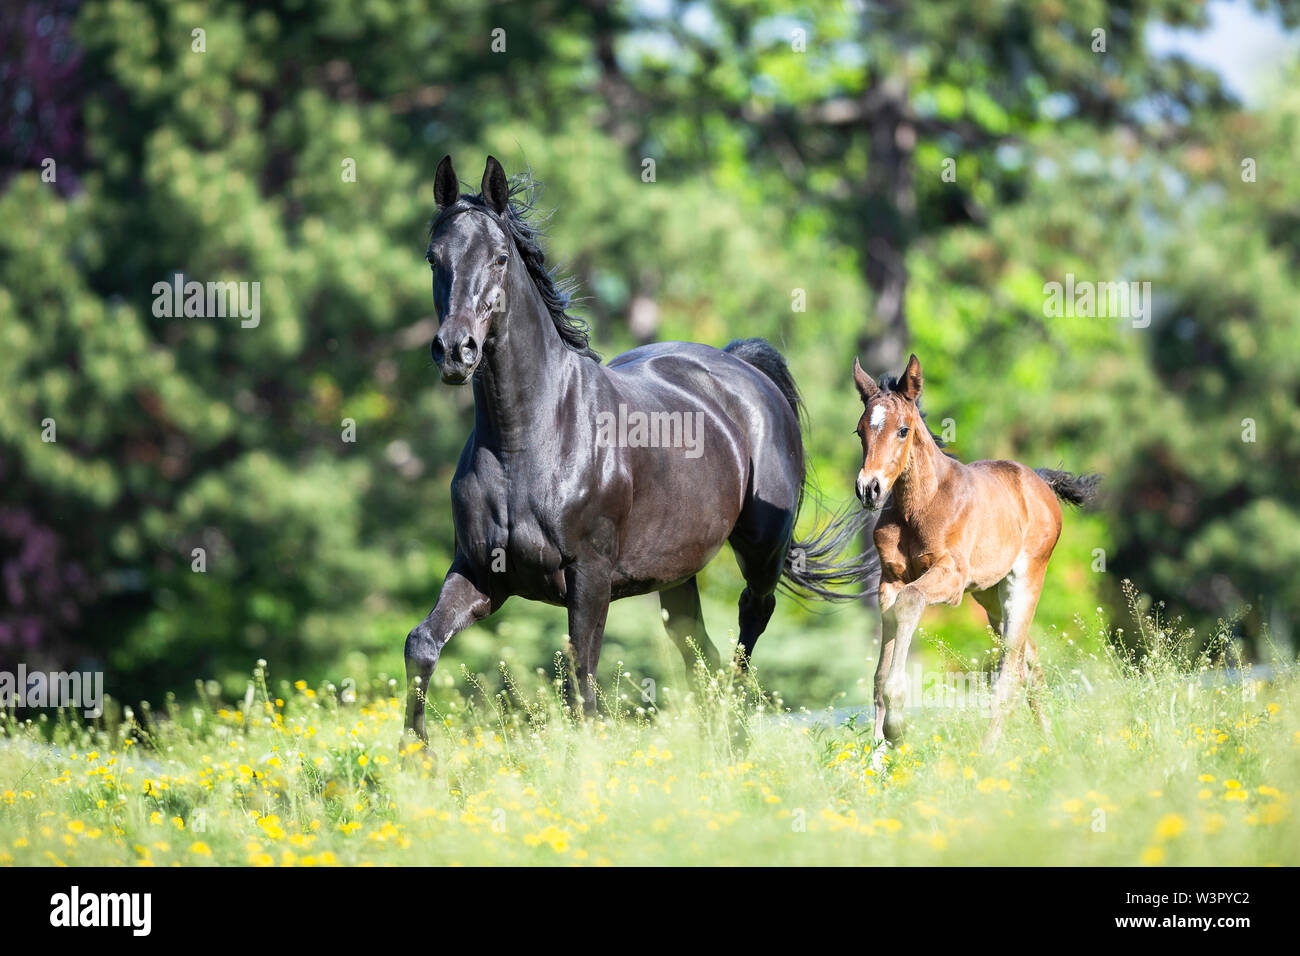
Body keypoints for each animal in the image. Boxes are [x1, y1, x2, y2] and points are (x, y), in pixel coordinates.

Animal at [402, 154, 873, 744]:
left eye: (500, 256)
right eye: (433, 257)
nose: (455, 351)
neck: (526, 442)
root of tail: (742, 368)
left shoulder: (590, 578)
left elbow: (582, 684)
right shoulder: (480, 573)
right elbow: (421, 644)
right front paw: (417, 754)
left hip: (760, 554)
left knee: (747, 634)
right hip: (678, 577)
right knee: (703, 658)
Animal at [850, 353, 1099, 758]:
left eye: (902, 430)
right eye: (860, 432)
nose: (868, 489)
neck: (916, 509)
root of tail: (1039, 482)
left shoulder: (950, 579)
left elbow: (910, 602)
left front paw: (896, 729)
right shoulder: (889, 581)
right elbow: (878, 674)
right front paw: (876, 755)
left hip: (1023, 583)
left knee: (1010, 669)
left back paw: (986, 755)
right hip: (990, 596)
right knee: (1029, 660)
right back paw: (1050, 744)